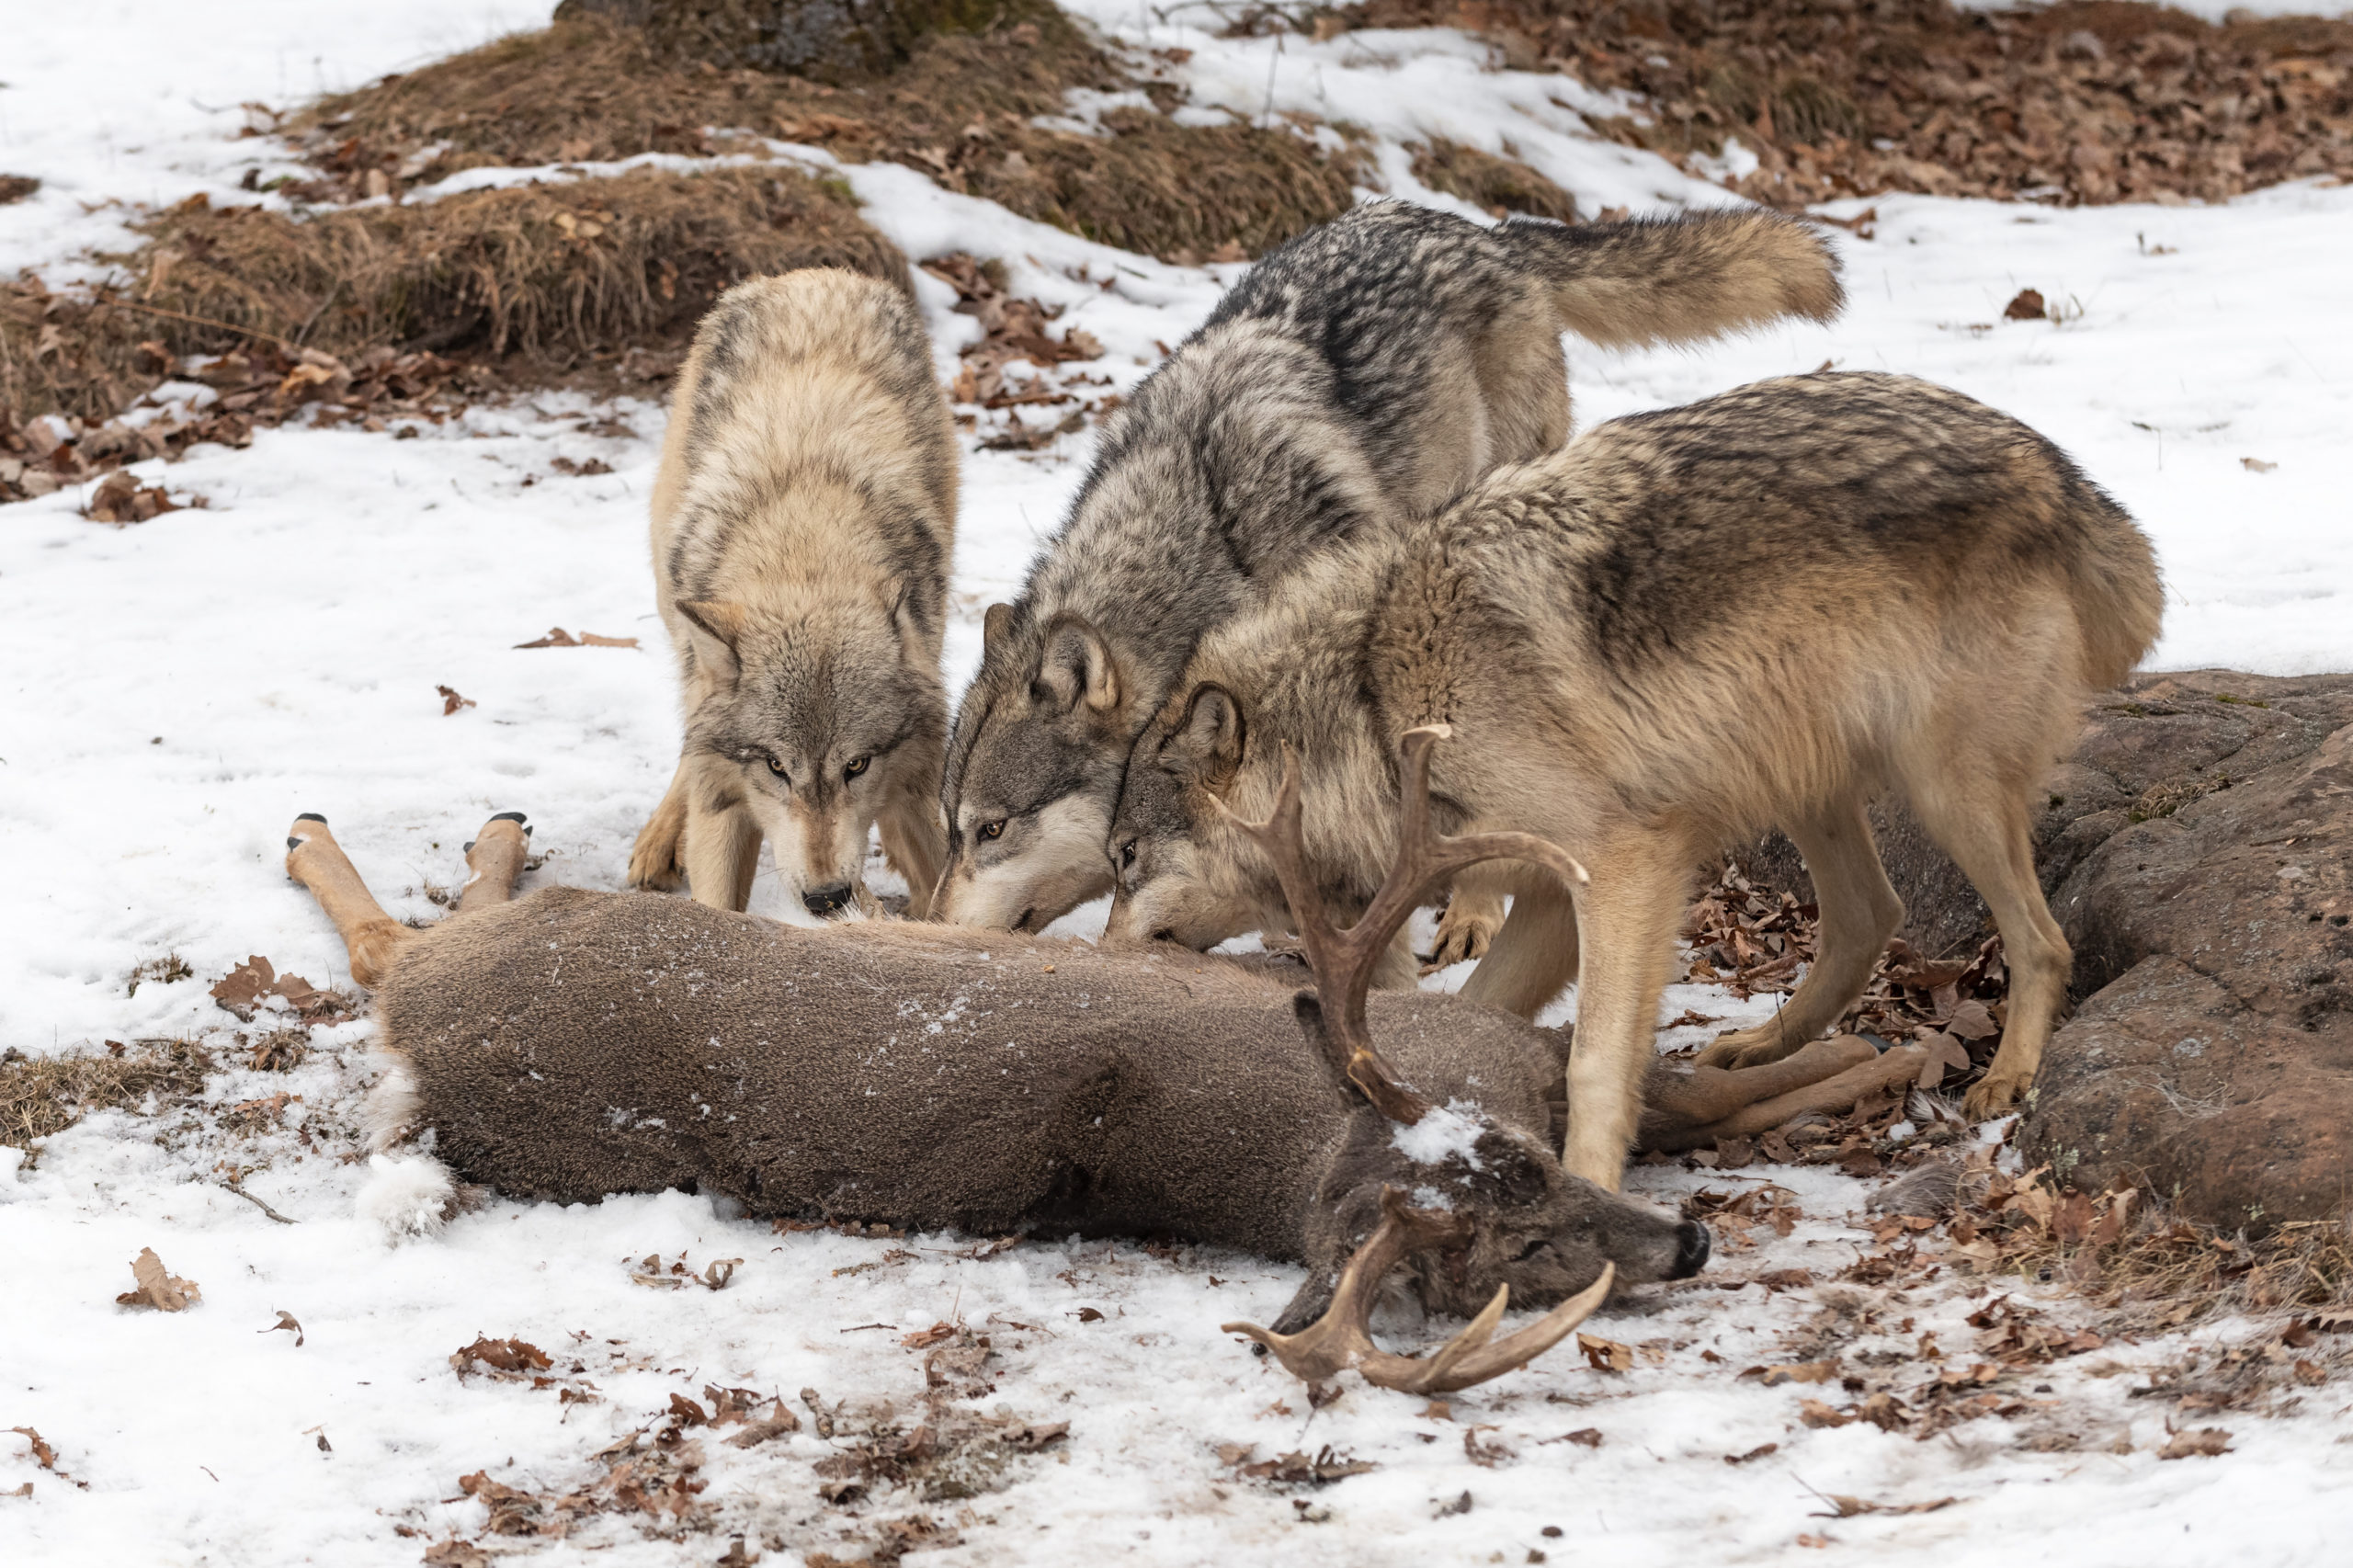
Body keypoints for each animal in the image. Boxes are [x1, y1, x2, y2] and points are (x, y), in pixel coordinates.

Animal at [626, 269, 958, 919]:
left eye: (857, 764)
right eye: (776, 766)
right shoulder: (727, 809)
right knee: (693, 731)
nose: (827, 897)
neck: (802, 553)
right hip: (670, 599)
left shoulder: (916, 776)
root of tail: (812, 275)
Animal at [933, 199, 1844, 966]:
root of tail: (1479, 227)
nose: (930, 925)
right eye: (951, 831)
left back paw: (1472, 916)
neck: (1209, 549)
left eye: (993, 829)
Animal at [1102, 372, 2163, 1190]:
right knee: (1872, 915)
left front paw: (1591, 1186)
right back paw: (1762, 1046)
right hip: (1800, 784)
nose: (1094, 965)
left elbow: (1595, 1063)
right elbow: (1477, 1010)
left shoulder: (1623, 865)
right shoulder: (1549, 894)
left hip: (1944, 791)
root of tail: (2059, 473)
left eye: (1122, 857)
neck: (1375, 693)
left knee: (2041, 942)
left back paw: (2005, 1078)